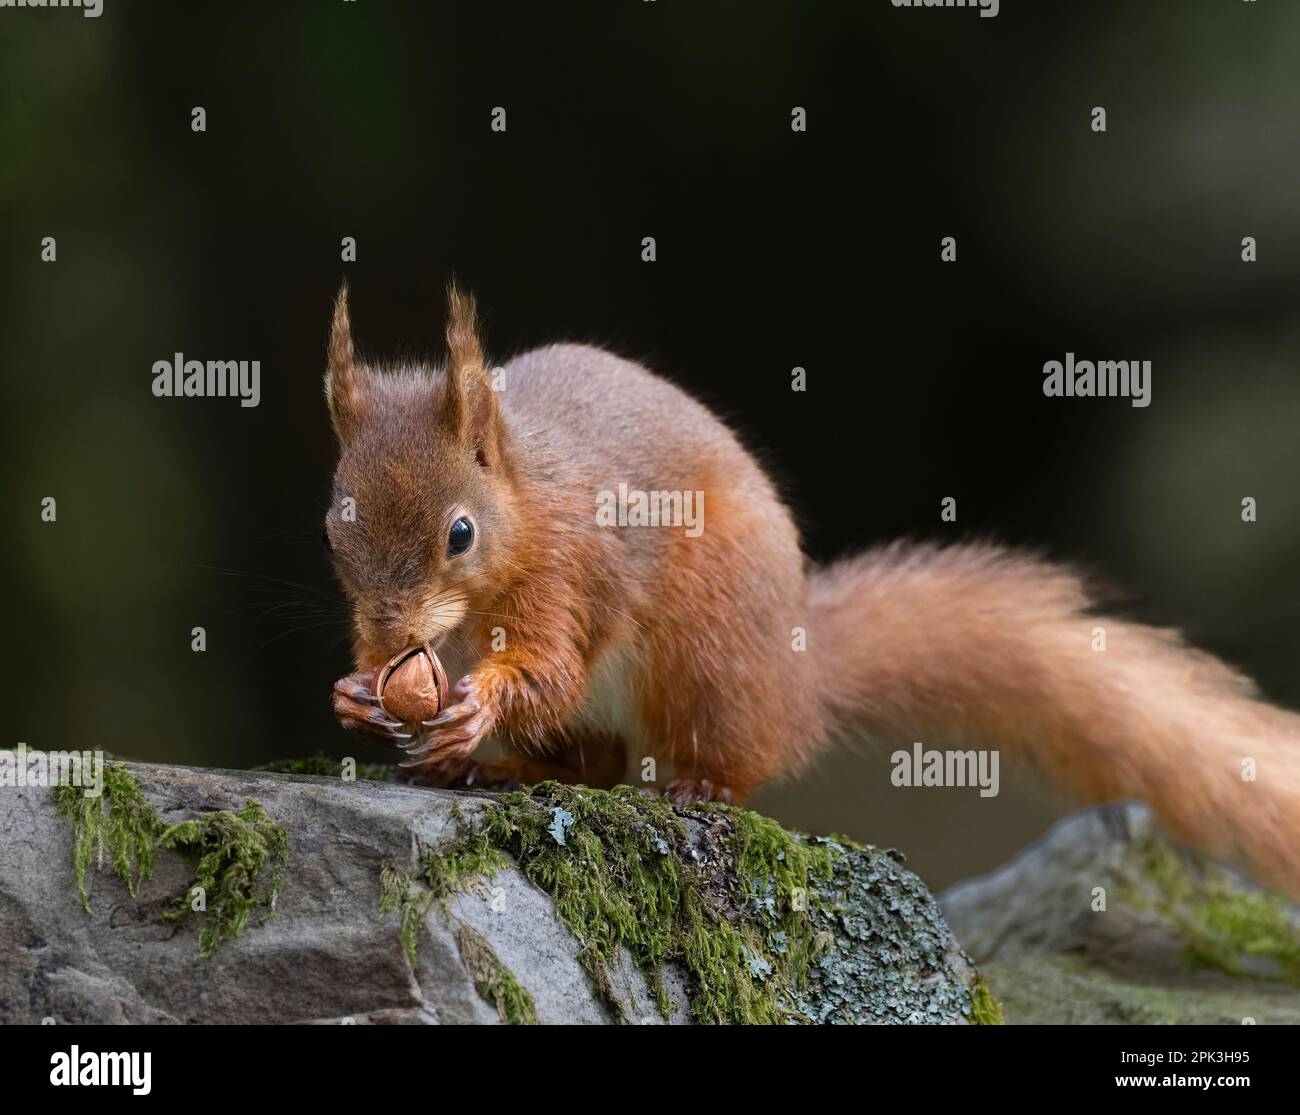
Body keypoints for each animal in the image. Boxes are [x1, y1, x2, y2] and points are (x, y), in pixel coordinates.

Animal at [326, 282, 1300, 896]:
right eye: (334, 523)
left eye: (460, 534)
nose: (392, 635)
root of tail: (801, 675)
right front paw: (358, 695)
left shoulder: (569, 570)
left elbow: (548, 665)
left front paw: (474, 708)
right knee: (599, 764)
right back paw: (483, 765)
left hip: (709, 652)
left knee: (702, 753)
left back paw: (695, 786)